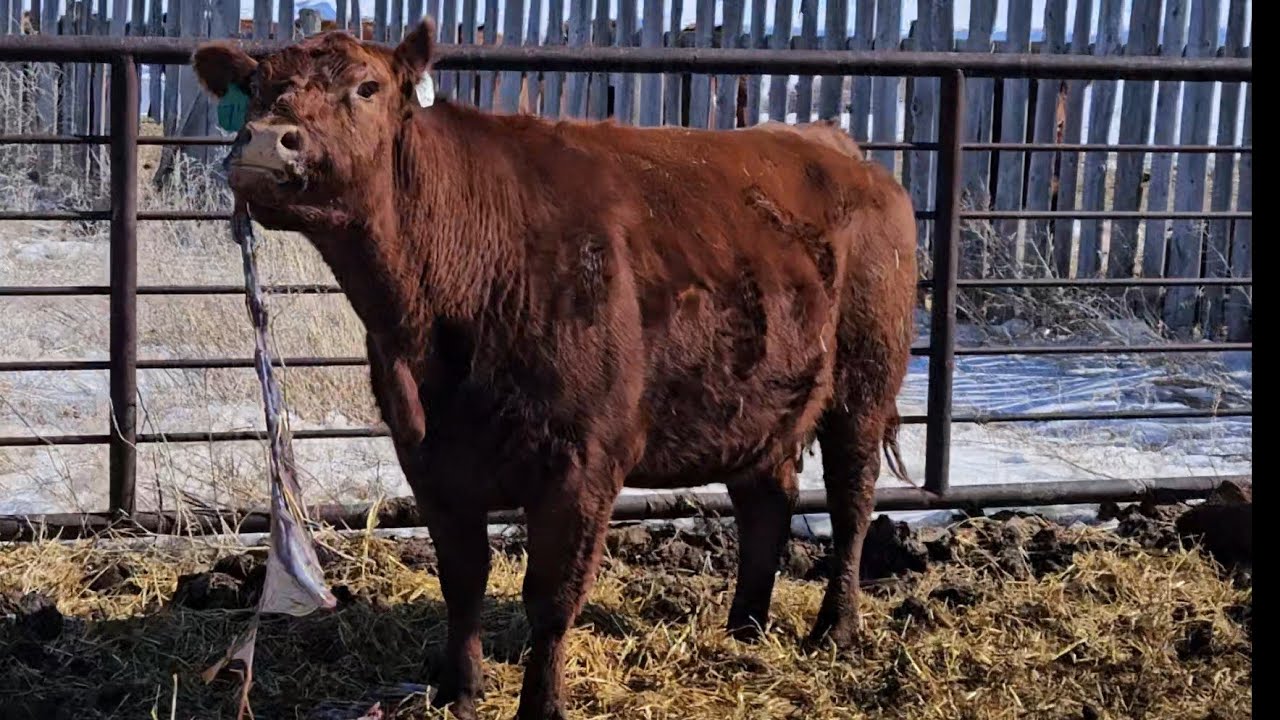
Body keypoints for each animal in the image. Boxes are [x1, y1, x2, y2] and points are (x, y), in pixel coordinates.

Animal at [192, 19, 917, 720]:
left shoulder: (583, 460)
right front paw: (458, 690)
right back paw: (745, 627)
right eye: (254, 87)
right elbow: (463, 577)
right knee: (767, 499)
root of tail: (836, 148)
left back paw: (836, 628)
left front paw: (540, 704)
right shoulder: (427, 457)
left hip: (864, 383)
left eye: (366, 87)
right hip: (759, 401)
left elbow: (551, 594)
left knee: (852, 502)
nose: (266, 141)